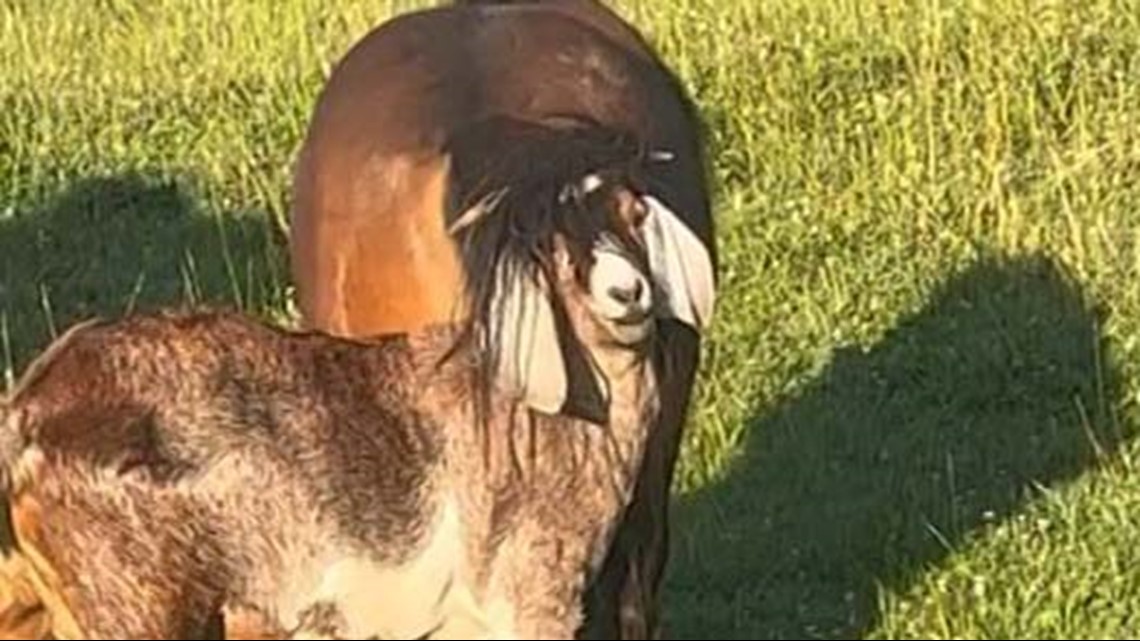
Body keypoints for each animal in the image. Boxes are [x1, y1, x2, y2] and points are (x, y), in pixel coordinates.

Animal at [0, 121, 713, 640]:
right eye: (553, 242)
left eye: (636, 212)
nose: (628, 292)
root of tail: (29, 409)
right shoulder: (533, 597)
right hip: (133, 603)